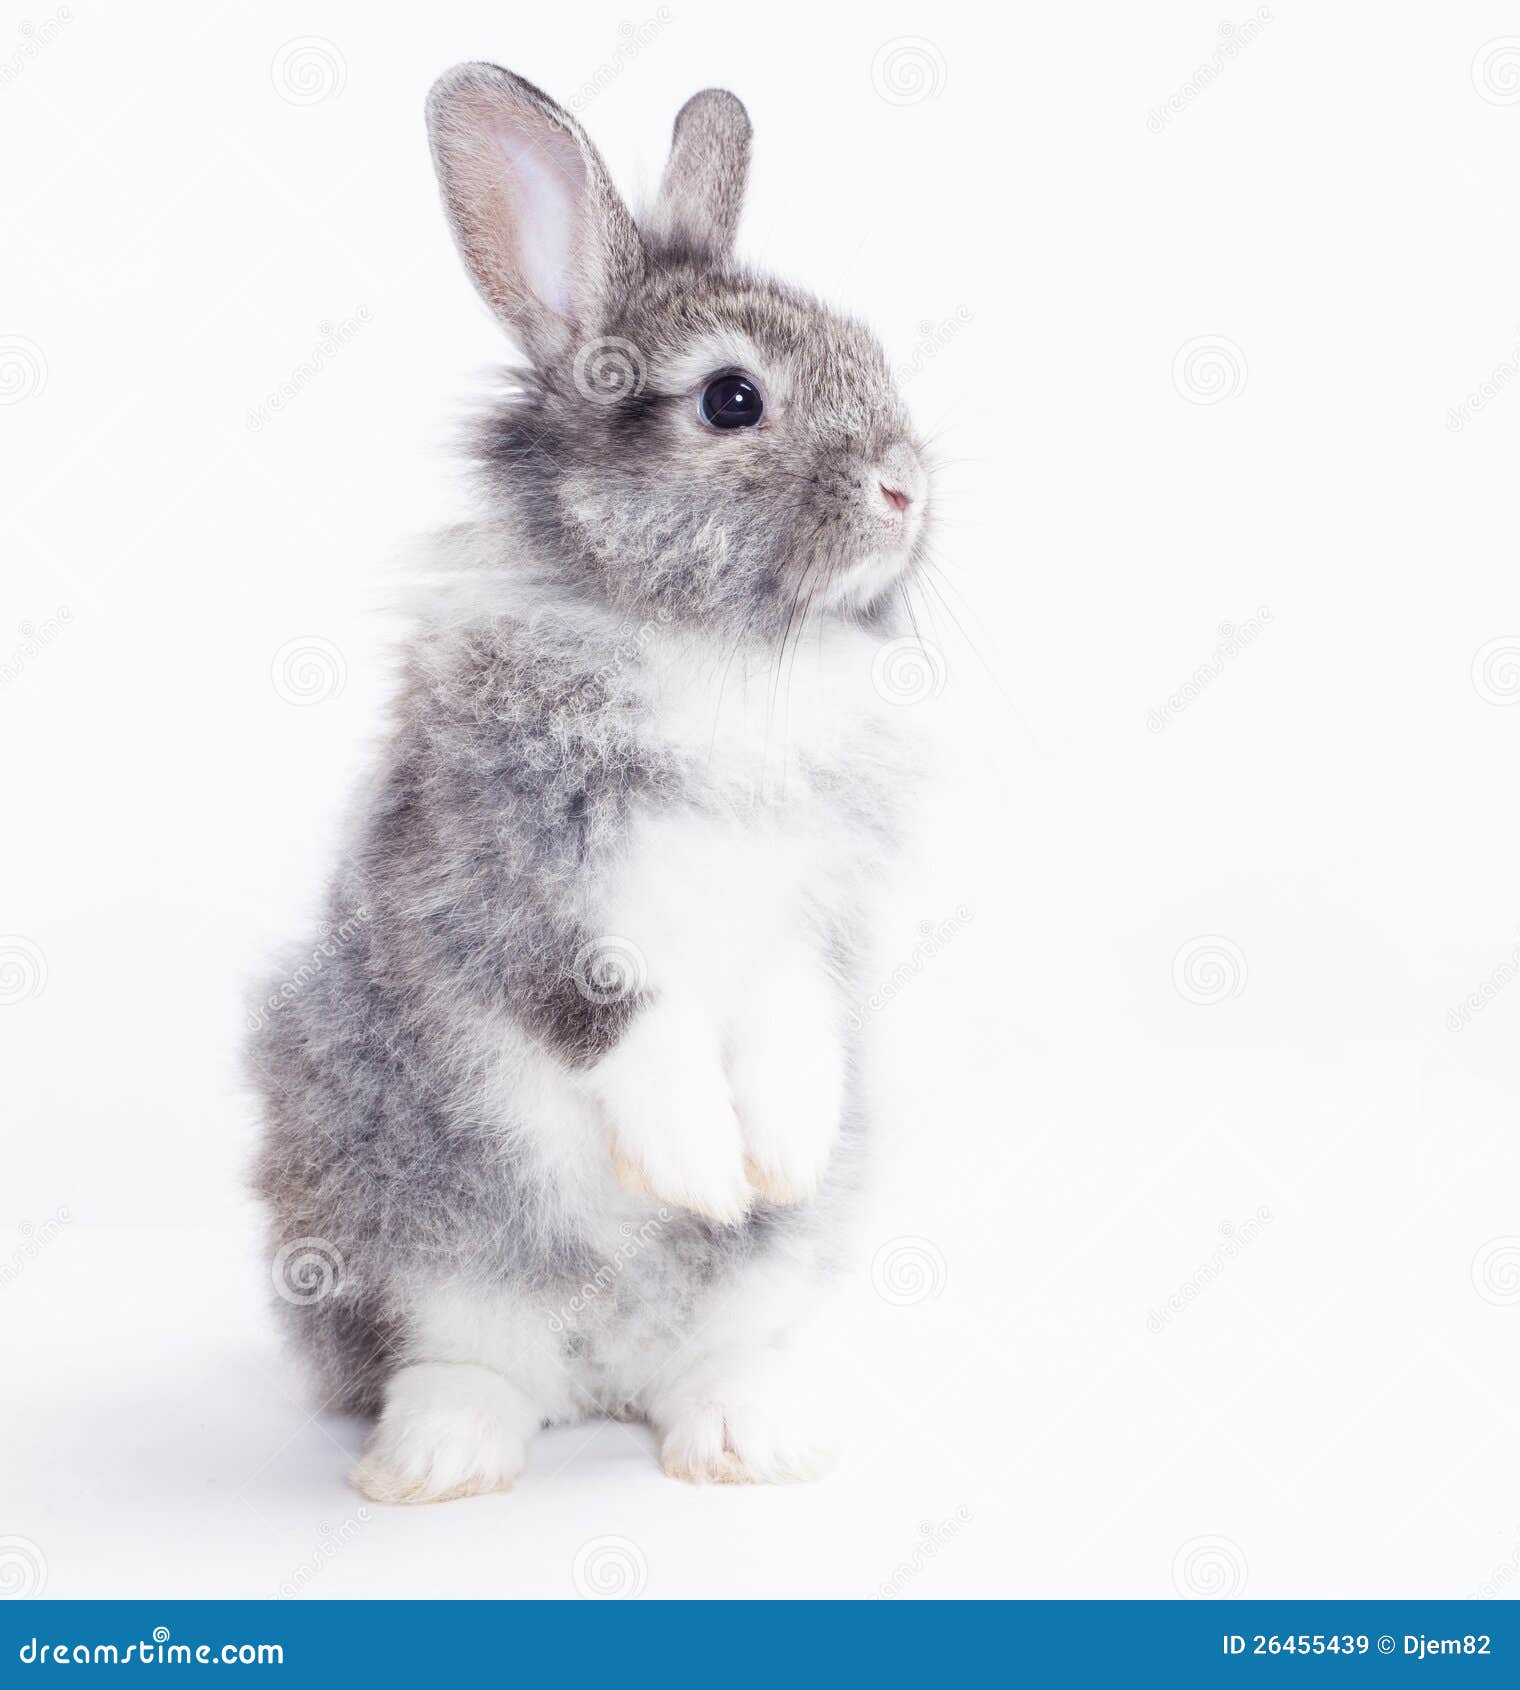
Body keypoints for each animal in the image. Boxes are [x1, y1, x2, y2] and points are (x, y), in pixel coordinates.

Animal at [247, 59, 935, 1502]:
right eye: (730, 399)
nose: (906, 487)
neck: (706, 644)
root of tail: (594, 1370)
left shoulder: (810, 920)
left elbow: (790, 1026)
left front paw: (770, 1159)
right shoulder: (517, 903)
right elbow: (628, 1019)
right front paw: (701, 1168)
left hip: (758, 1280)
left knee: (708, 1353)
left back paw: (746, 1437)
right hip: (420, 1235)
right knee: (468, 1358)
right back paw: (436, 1462)